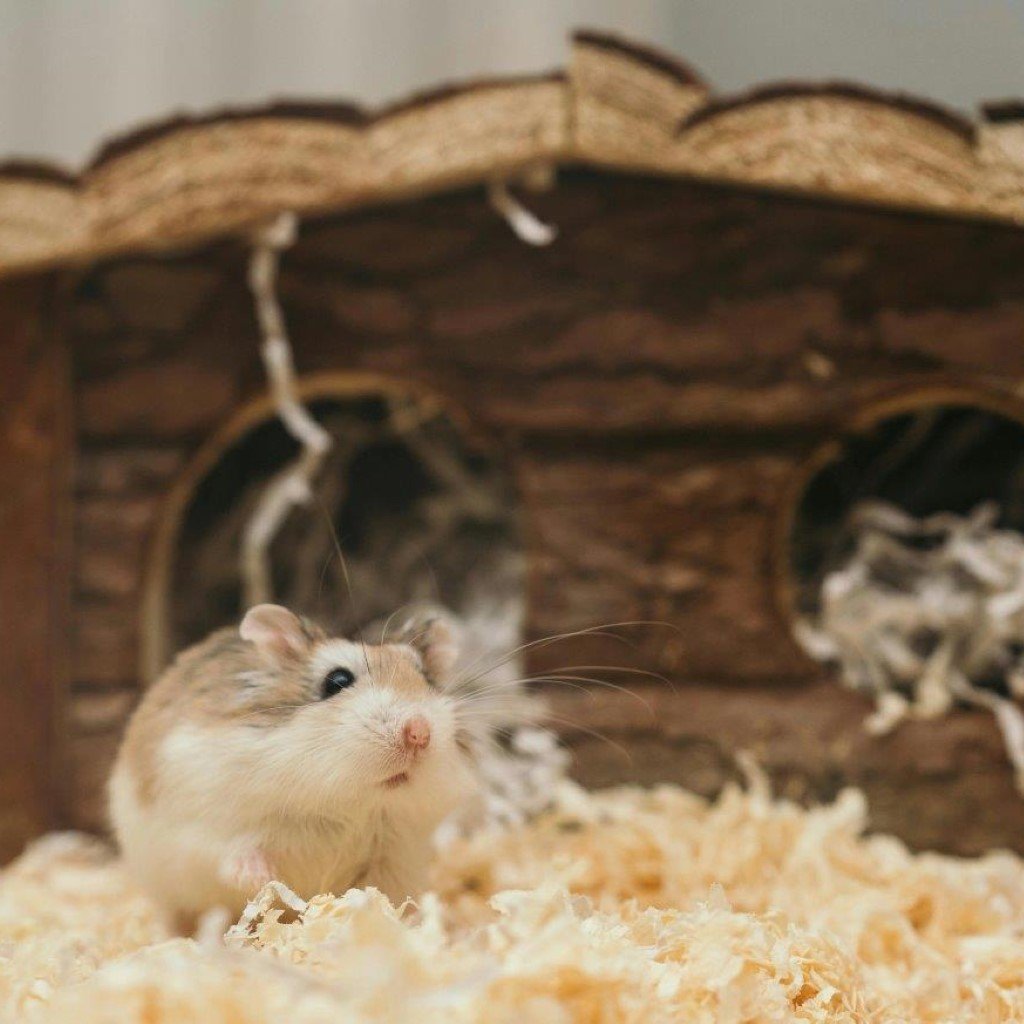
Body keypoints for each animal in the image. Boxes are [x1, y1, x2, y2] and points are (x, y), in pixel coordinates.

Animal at [108, 604, 479, 931]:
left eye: (426, 679)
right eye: (337, 681)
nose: (419, 732)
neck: (346, 803)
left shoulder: (396, 855)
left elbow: (383, 896)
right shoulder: (208, 825)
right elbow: (234, 853)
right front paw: (265, 880)